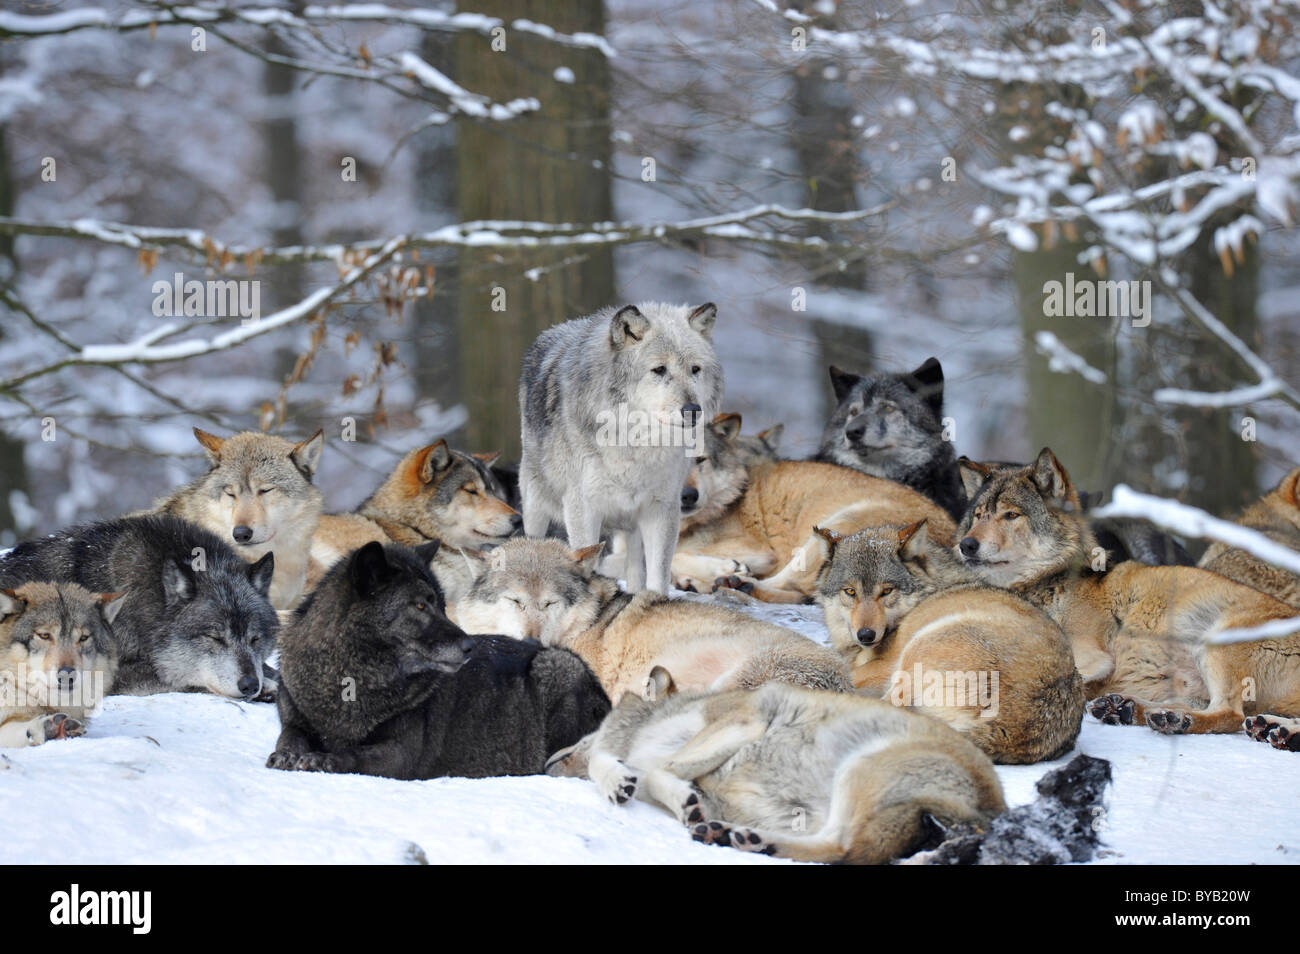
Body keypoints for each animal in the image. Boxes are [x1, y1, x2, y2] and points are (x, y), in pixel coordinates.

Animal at [269, 541, 609, 778]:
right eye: (420, 606)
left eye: (443, 606)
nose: (471, 645)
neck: (351, 681)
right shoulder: (295, 721)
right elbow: (289, 738)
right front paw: (287, 755)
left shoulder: (400, 755)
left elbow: (353, 755)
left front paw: (323, 759)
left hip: (557, 665)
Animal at [519, 302, 724, 594]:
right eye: (659, 369)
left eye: (695, 369)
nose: (693, 410)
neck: (636, 444)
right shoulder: (583, 508)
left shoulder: (661, 509)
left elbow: (658, 576)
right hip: (535, 504)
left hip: (632, 525)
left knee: (636, 569)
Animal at [544, 680, 1006, 864]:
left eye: (577, 737)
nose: (545, 762)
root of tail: (994, 809)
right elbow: (619, 766)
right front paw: (619, 783)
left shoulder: (740, 722)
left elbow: (656, 769)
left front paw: (680, 801)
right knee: (840, 846)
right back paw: (740, 838)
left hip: (862, 764)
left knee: (845, 848)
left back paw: (744, 839)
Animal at [678, 459, 955, 602]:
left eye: (699, 461)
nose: (687, 495)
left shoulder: (761, 552)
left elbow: (677, 558)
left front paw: (725, 570)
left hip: (832, 530)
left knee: (798, 587)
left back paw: (735, 583)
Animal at [814, 521, 1083, 763]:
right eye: (850, 592)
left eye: (887, 591)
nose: (866, 635)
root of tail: (1014, 732)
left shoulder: (884, 666)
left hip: (918, 649)